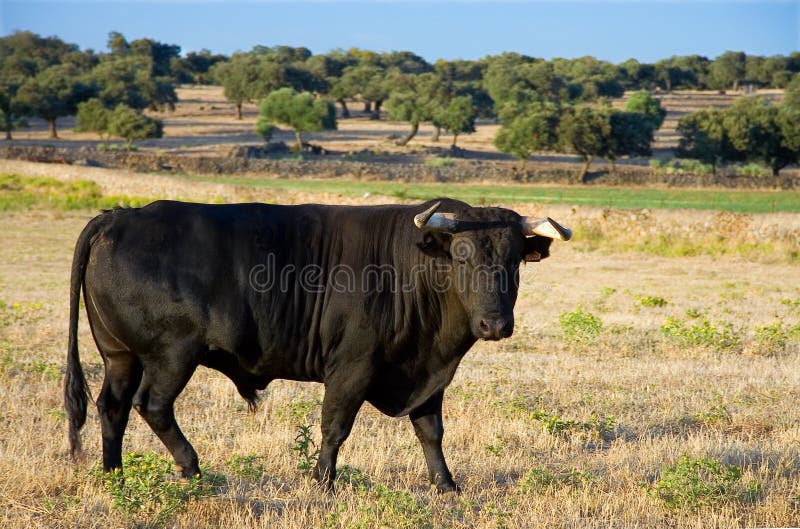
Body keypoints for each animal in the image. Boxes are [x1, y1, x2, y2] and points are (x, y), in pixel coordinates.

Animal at [65, 198, 570, 492]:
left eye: (514, 260)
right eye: (463, 255)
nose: (495, 323)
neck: (412, 263)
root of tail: (118, 217)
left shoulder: (429, 374)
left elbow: (430, 430)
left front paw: (445, 485)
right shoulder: (352, 368)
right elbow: (335, 427)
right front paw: (323, 482)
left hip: (120, 356)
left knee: (113, 407)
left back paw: (114, 475)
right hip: (172, 356)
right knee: (152, 405)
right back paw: (192, 468)